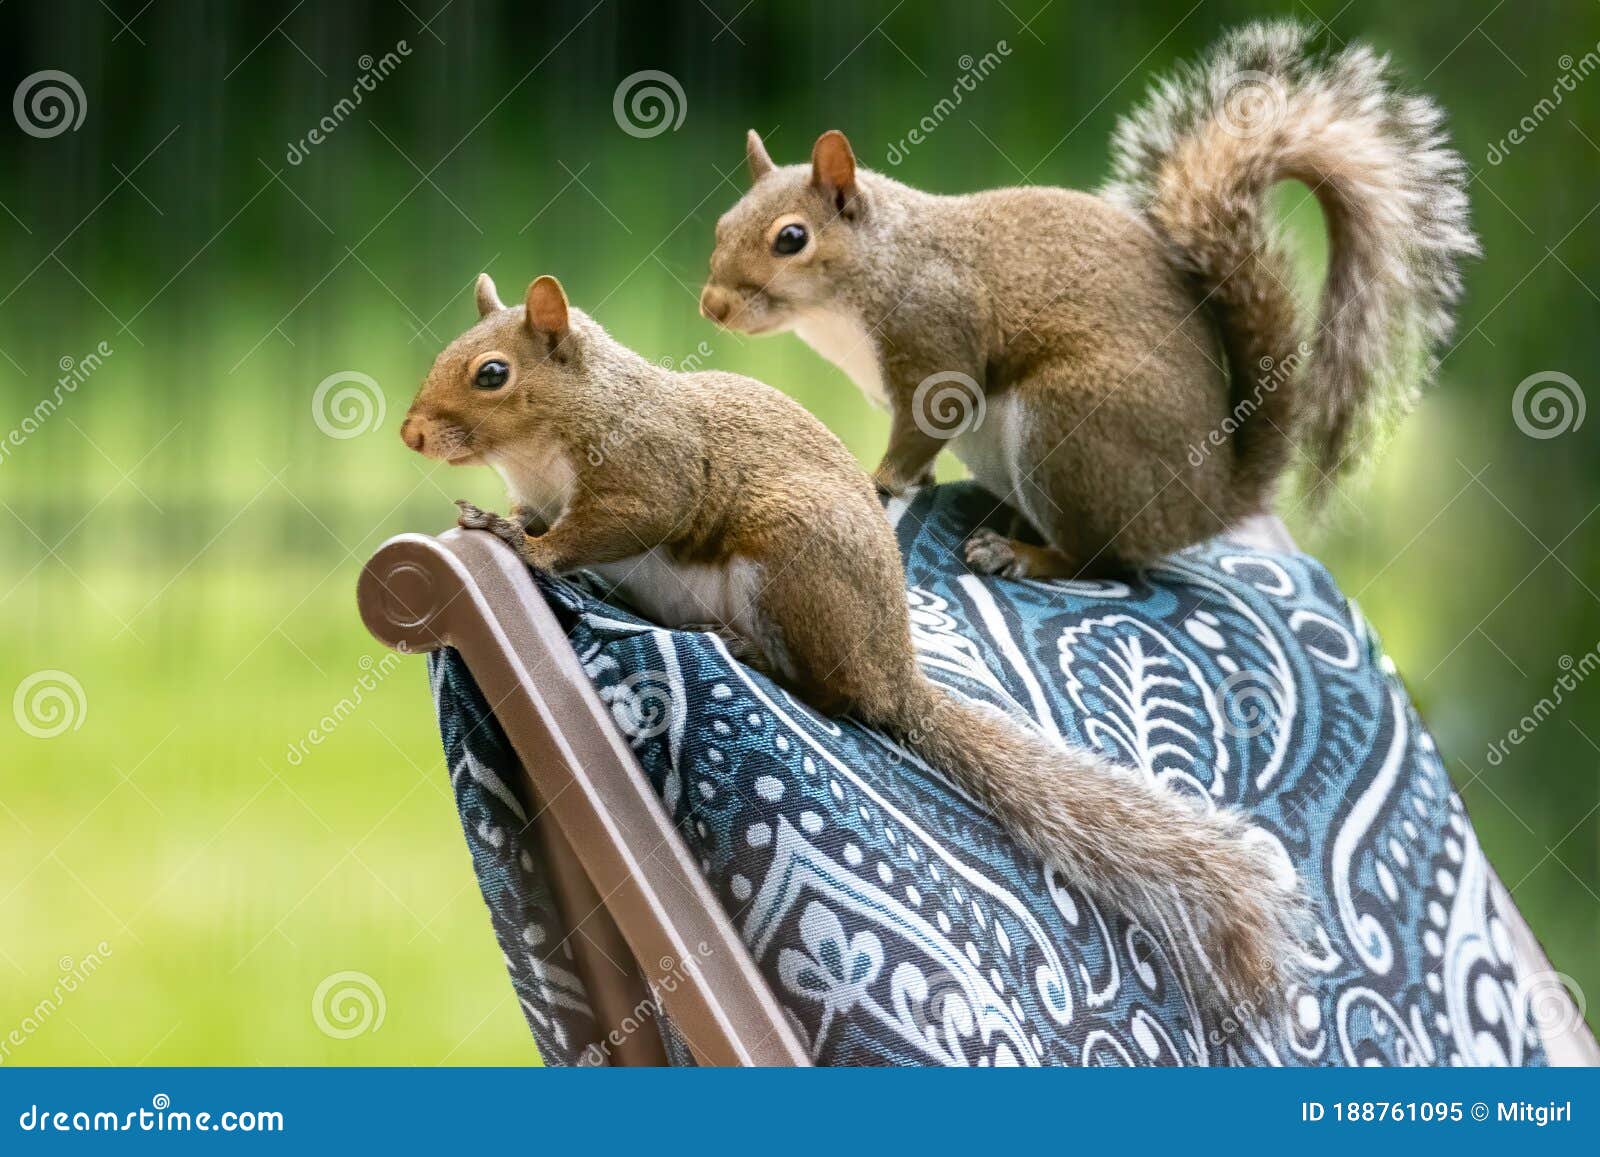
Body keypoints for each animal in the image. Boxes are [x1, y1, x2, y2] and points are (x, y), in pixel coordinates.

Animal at [401, 272, 1307, 1012]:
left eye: (492, 374)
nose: (411, 434)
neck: (555, 435)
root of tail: (892, 667)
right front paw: (502, 519)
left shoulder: (647, 472)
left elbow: (603, 527)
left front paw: (522, 546)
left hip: (792, 565)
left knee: (834, 692)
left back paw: (739, 644)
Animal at [699, 22, 1477, 577]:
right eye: (721, 224)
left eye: (791, 238)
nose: (711, 305)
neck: (864, 281)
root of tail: (1204, 506)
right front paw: (907, 478)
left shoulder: (936, 341)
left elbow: (925, 423)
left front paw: (881, 480)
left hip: (1071, 427)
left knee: (1099, 559)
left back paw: (1022, 553)